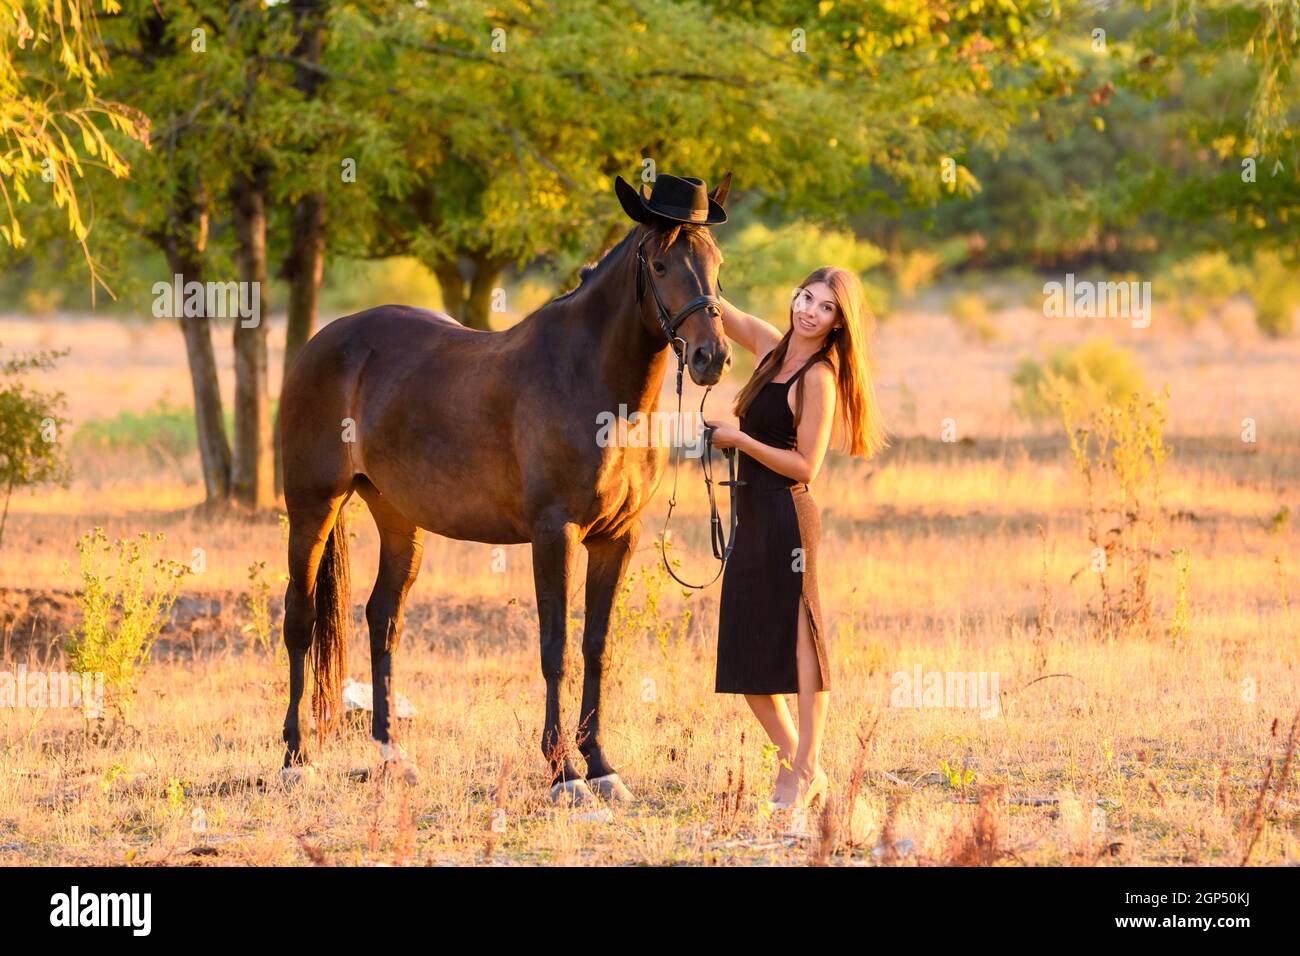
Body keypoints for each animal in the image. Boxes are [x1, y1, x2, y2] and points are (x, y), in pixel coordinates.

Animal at [277, 176, 732, 803]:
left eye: (717, 264)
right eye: (661, 265)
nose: (713, 357)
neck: (592, 383)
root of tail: (323, 342)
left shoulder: (618, 538)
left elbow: (596, 647)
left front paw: (601, 765)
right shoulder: (554, 533)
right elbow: (554, 648)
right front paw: (564, 773)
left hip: (398, 518)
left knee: (382, 619)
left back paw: (394, 756)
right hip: (312, 508)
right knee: (299, 617)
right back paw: (297, 759)